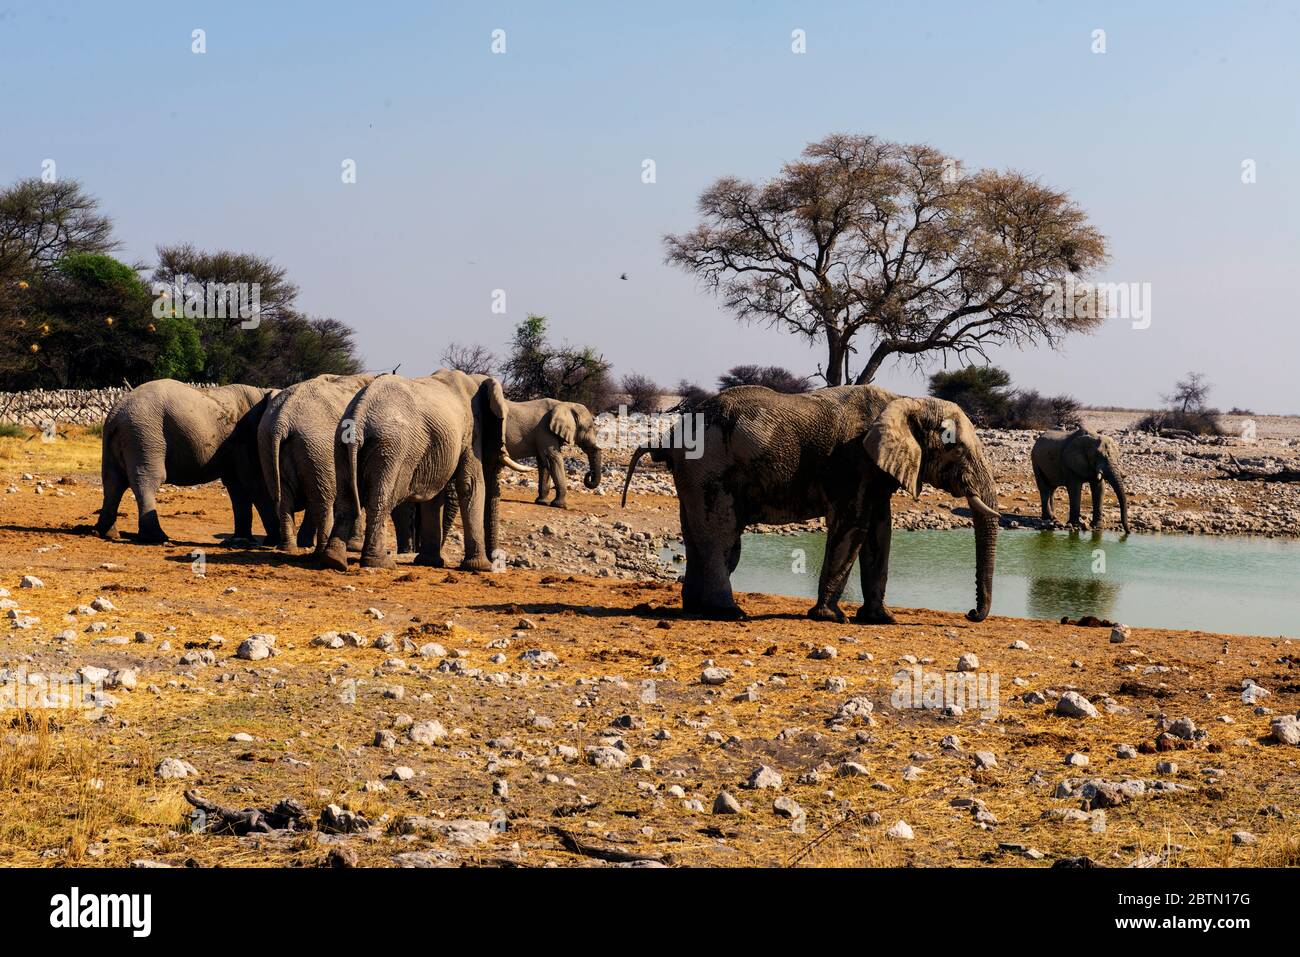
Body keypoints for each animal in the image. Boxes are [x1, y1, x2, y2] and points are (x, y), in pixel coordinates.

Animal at [97, 379, 278, 545]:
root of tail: (115, 414)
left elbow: (237, 486)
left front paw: (242, 540)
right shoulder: (248, 440)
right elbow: (256, 482)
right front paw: (271, 541)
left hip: (123, 439)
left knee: (113, 481)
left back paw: (106, 533)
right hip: (144, 434)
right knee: (147, 480)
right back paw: (158, 539)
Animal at [258, 373, 376, 554]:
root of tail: (281, 421)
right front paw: (354, 547)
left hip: (270, 444)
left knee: (286, 498)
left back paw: (289, 547)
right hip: (316, 446)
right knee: (323, 500)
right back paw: (319, 549)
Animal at [320, 370, 533, 571]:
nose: (497, 561)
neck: (476, 380)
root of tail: (360, 412)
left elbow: (434, 494)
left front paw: (429, 562)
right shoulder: (471, 432)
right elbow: (470, 485)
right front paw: (480, 567)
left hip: (341, 443)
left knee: (347, 499)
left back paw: (334, 560)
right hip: (393, 448)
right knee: (382, 499)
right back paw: (380, 563)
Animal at [622, 385, 1001, 624]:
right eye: (956, 447)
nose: (971, 614)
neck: (905, 401)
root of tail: (668, 437)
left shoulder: (875, 471)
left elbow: (880, 531)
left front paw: (881, 619)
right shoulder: (854, 462)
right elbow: (854, 525)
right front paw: (832, 617)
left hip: (694, 474)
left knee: (699, 537)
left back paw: (696, 609)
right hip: (708, 466)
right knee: (723, 537)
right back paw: (729, 614)